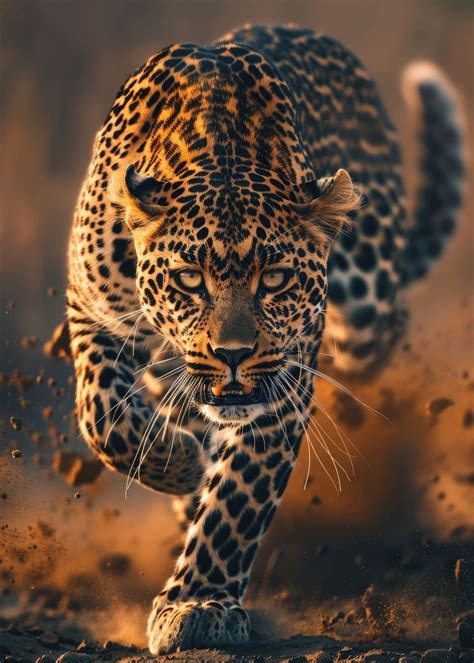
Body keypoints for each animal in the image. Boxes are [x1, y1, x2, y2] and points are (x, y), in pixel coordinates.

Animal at [66, 24, 465, 654]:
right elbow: (103, 414)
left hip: (370, 294)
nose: (232, 356)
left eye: (274, 279)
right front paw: (180, 463)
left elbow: (236, 498)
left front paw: (198, 603)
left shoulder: (284, 380)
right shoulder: (92, 308)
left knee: (389, 321)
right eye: (189, 278)